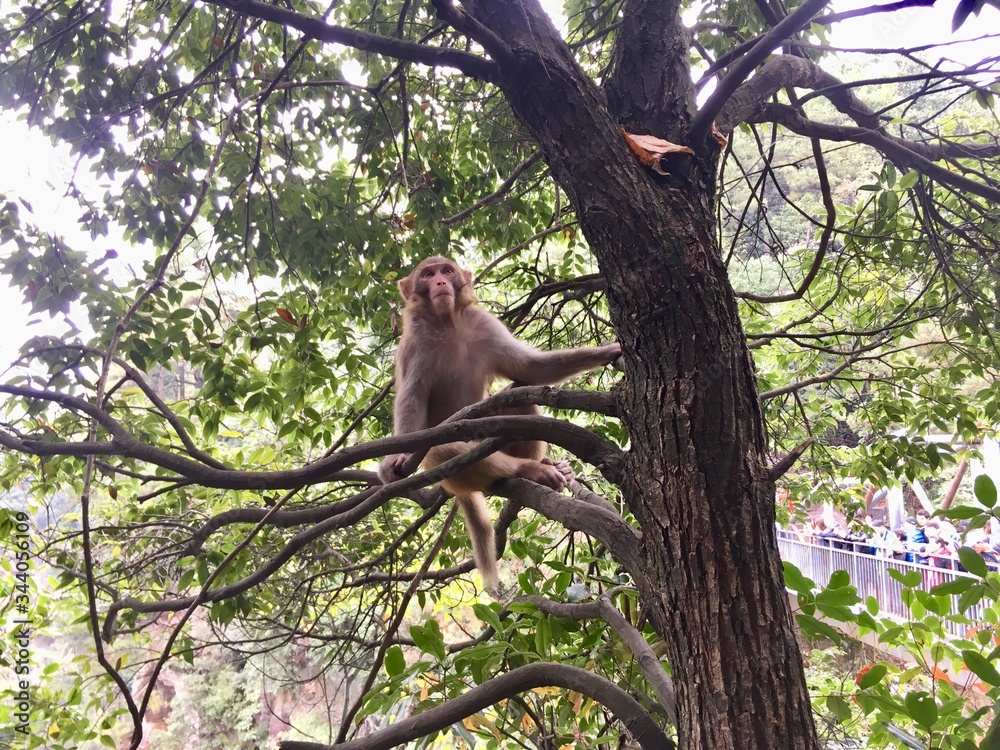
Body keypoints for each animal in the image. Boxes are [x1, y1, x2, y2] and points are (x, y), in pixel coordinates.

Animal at [378, 256, 621, 592]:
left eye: (447, 271)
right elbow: (411, 402)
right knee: (441, 447)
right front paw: (395, 458)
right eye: (427, 274)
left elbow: (530, 368)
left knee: (520, 397)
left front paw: (608, 350)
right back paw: (528, 470)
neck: (447, 323)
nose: (440, 282)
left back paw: (542, 466)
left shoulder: (483, 324)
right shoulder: (415, 341)